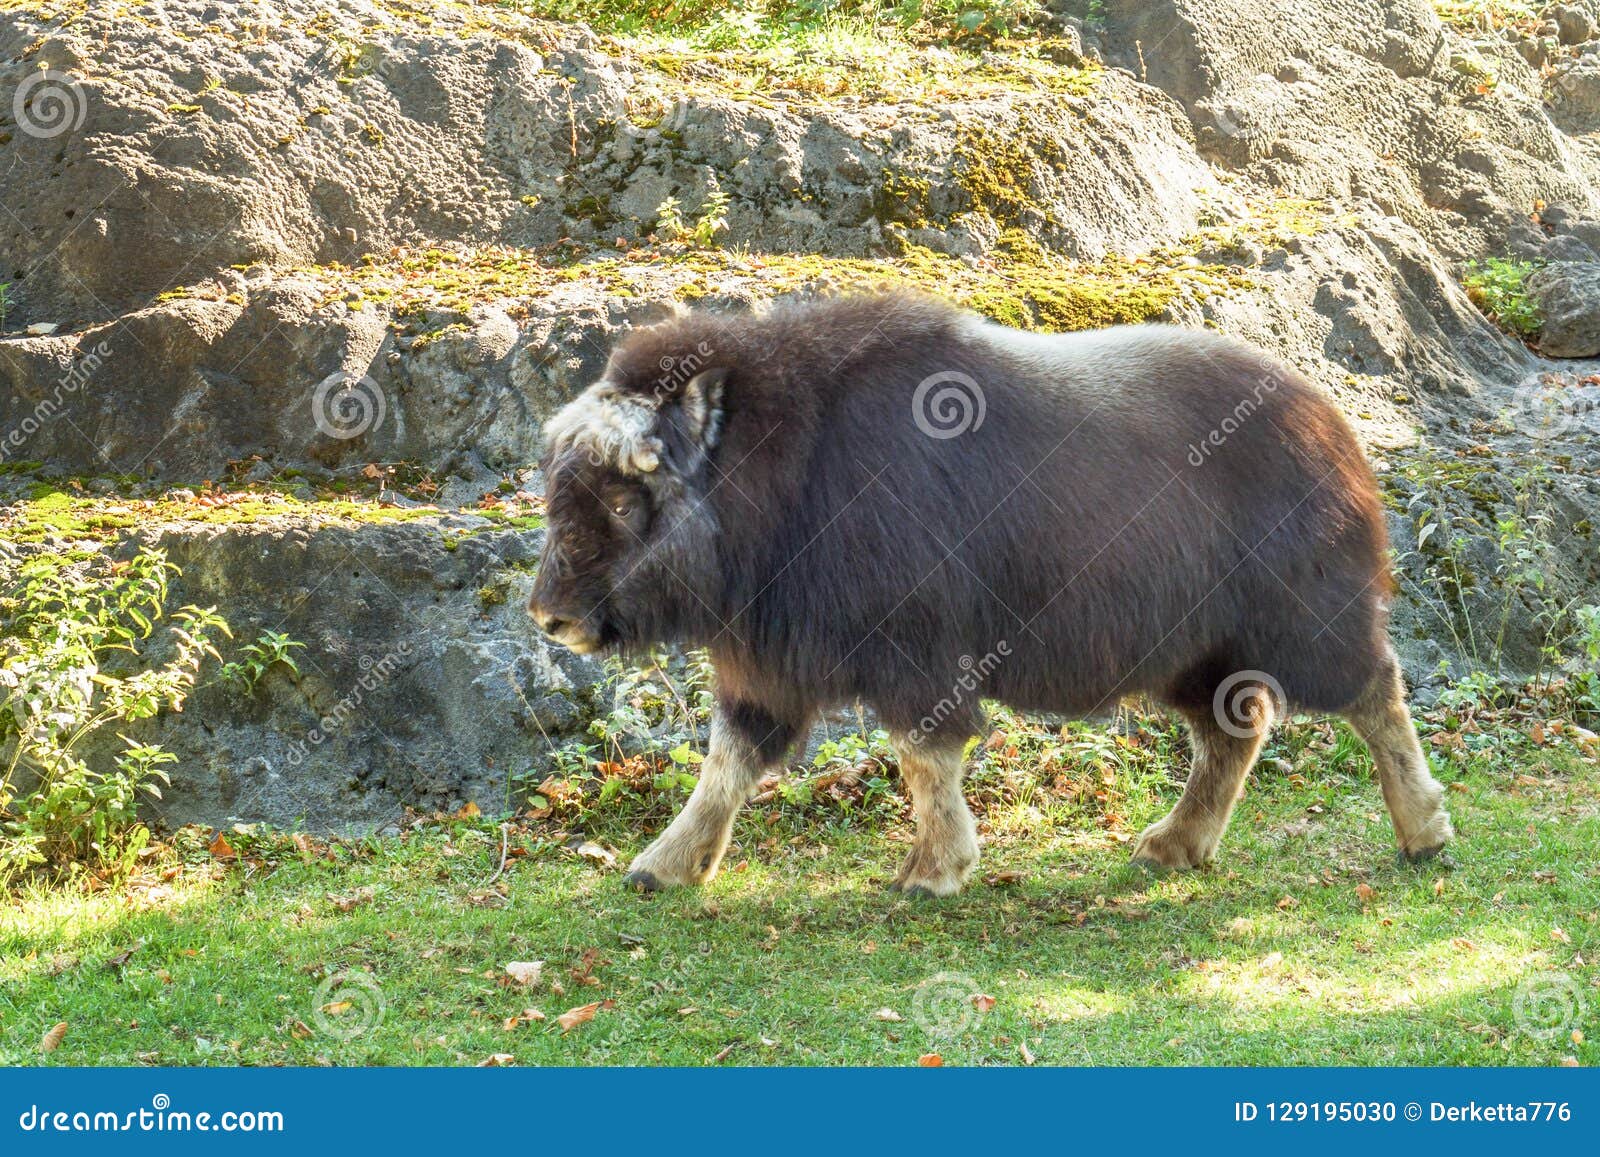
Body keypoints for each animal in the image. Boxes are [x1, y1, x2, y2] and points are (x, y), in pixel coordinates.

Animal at [528, 293, 1452, 896]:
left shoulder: (914, 653)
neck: (780, 469)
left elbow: (923, 753)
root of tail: (1329, 418)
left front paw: (932, 872)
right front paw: (661, 867)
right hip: (1197, 655)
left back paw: (1424, 832)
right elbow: (727, 761)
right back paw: (1171, 846)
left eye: (623, 498)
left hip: (1305, 621)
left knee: (1374, 691)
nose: (549, 616)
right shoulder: (768, 669)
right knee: (1232, 731)